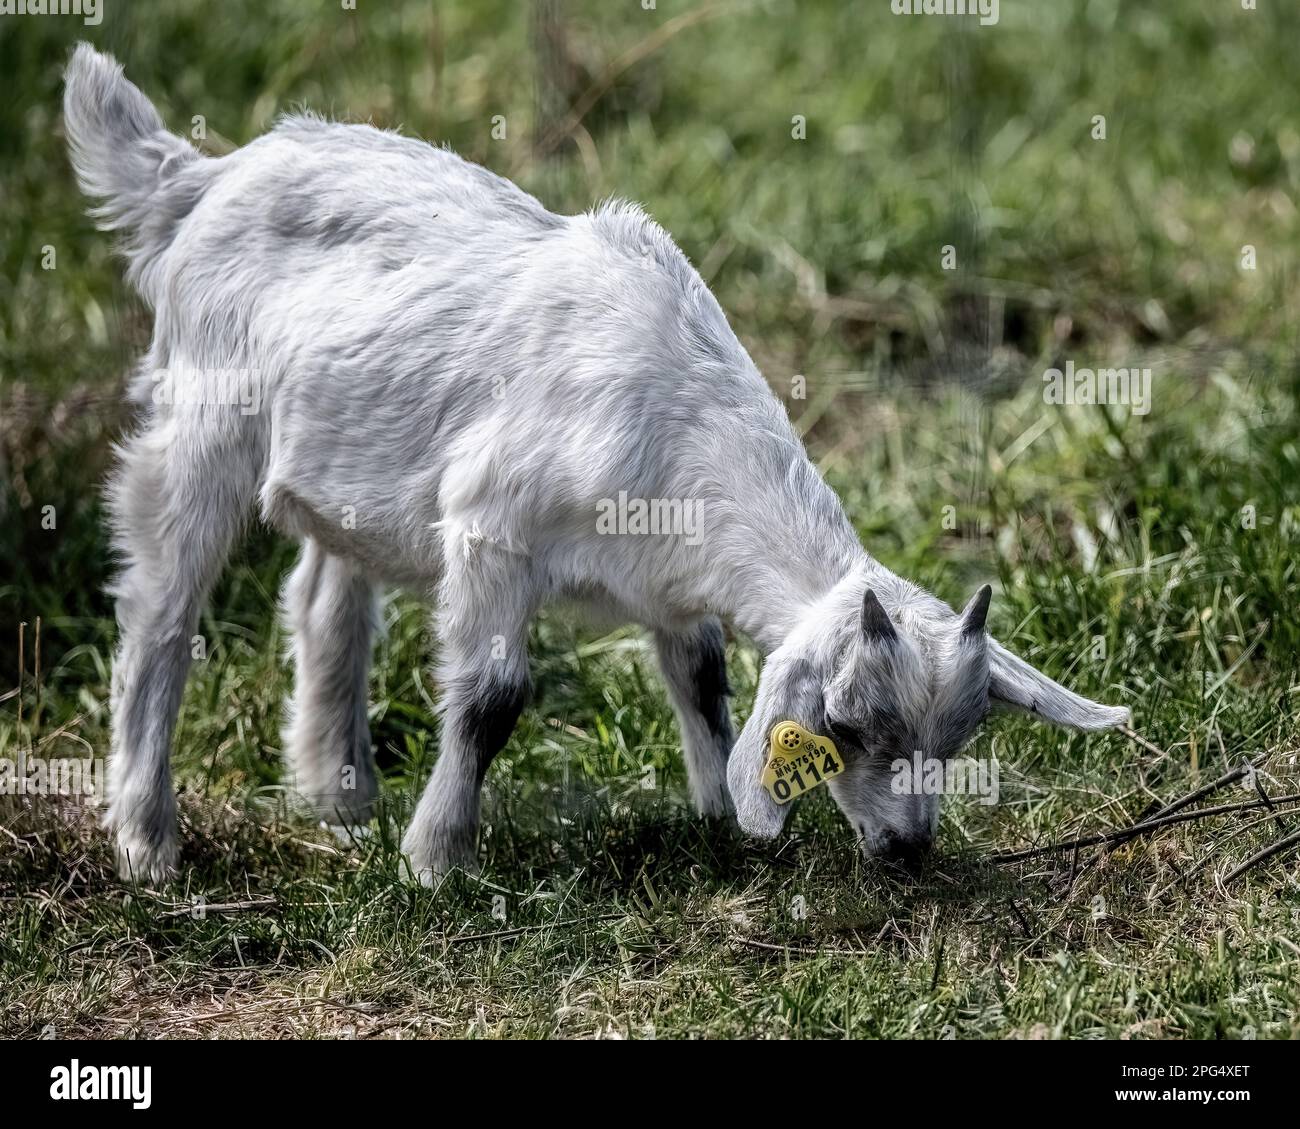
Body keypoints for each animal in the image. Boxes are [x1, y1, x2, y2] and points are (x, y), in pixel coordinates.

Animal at [63, 44, 1129, 883]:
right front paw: (435, 859)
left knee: (325, 595)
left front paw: (717, 814)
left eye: (960, 738)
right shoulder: (490, 528)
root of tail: (203, 177)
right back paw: (148, 842)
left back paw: (338, 796)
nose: (910, 849)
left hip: (356, 461)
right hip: (200, 427)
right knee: (160, 613)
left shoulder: (672, 577)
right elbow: (492, 699)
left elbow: (701, 675)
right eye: (851, 727)